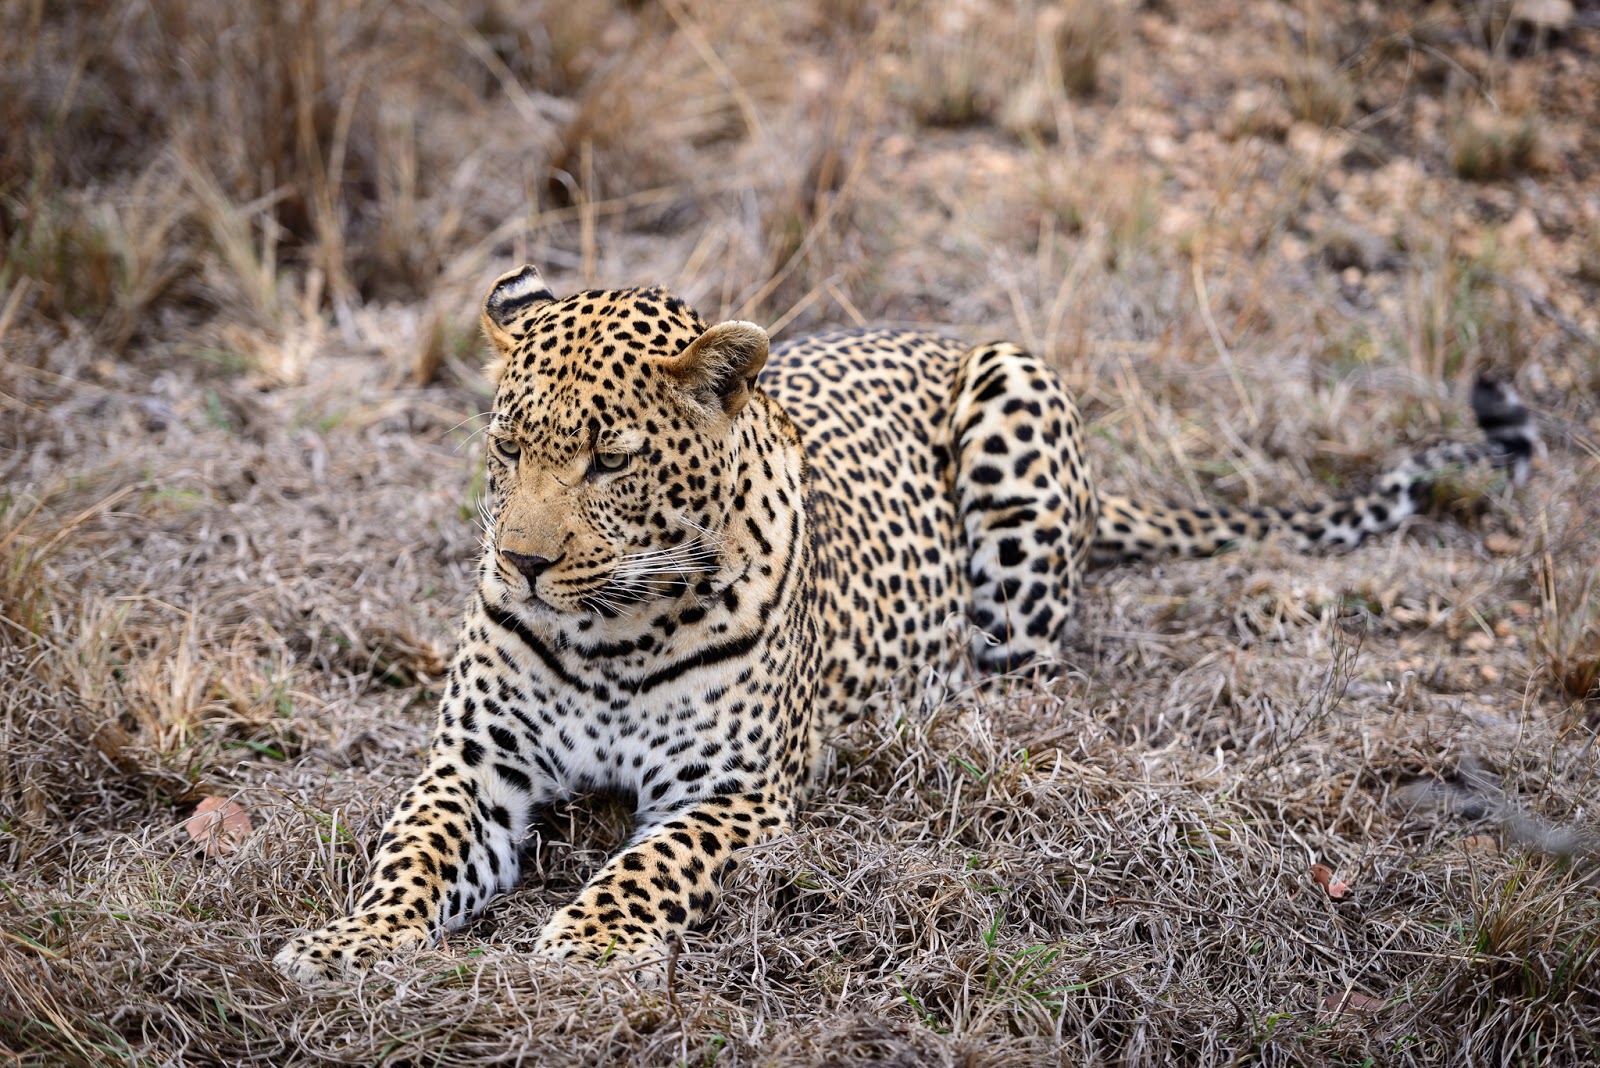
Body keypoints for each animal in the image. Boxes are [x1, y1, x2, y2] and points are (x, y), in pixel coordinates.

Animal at [274, 264, 1535, 983]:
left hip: (1014, 402)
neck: (609, 634)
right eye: (505, 447)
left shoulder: (732, 790)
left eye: (610, 460)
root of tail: (933, 331)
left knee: (1026, 670)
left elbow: (652, 864)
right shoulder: (474, 766)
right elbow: (411, 855)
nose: (523, 565)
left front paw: (592, 941)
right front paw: (351, 941)